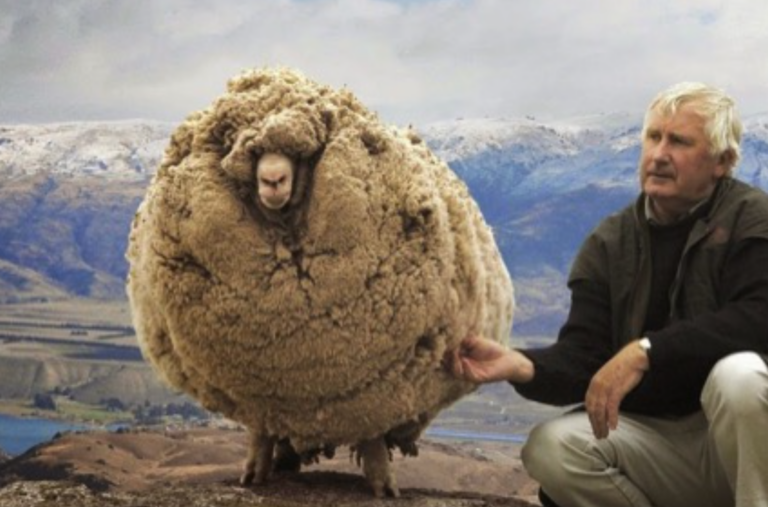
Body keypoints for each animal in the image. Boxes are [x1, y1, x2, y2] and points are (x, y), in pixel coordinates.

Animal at [126, 67, 514, 498]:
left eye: (301, 157)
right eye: (250, 153)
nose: (273, 180)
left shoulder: (382, 387)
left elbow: (373, 436)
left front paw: (382, 483)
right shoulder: (258, 391)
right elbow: (260, 430)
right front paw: (254, 471)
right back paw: (281, 459)